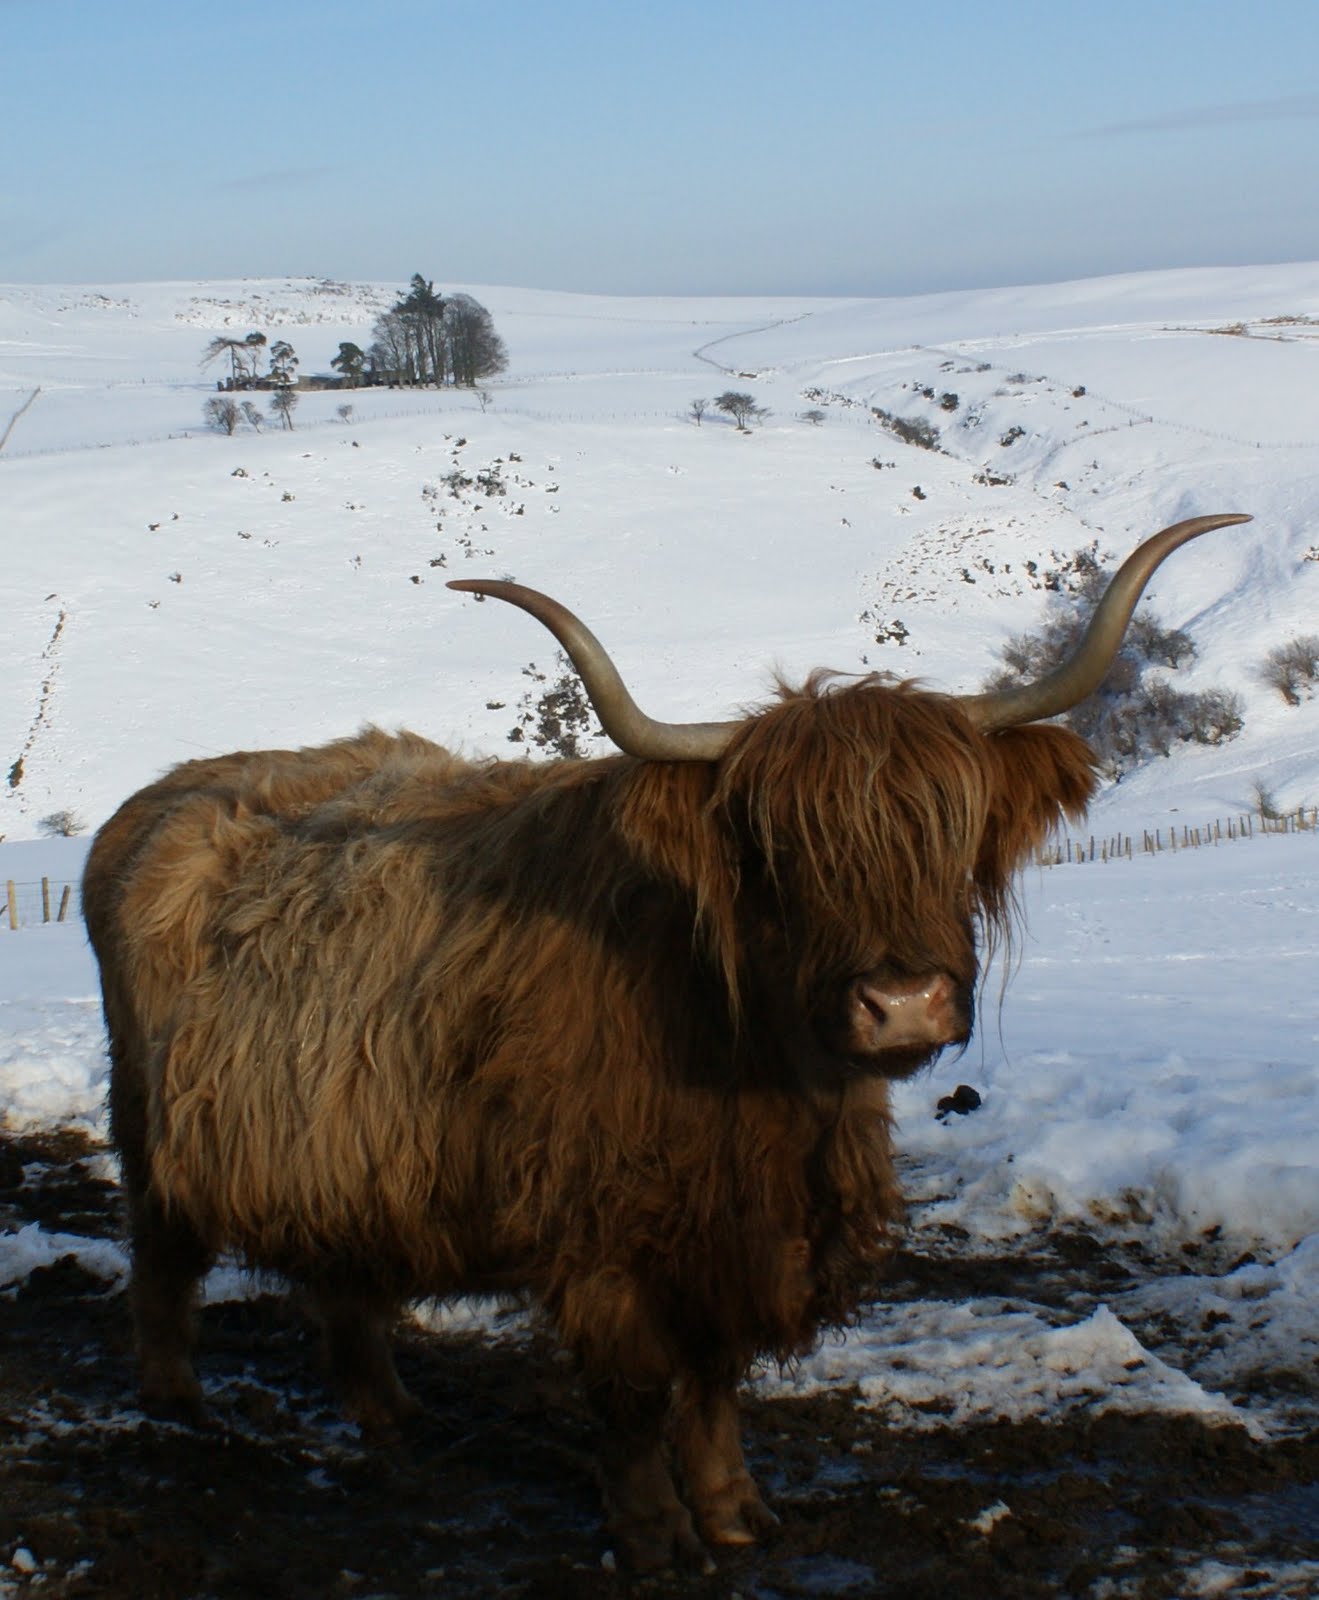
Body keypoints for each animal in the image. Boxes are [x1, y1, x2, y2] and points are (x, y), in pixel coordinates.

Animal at [83, 513, 1247, 1570]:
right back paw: (175, 1400)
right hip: (153, 1114)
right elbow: (638, 1389)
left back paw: (388, 1411)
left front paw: (733, 1509)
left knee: (340, 1271)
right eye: (778, 850)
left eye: (951, 830)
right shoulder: (600, 1224)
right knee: (161, 1250)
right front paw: (651, 1532)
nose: (902, 1001)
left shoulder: (740, 1231)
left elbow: (715, 1378)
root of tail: (151, 802)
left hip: (336, 1133)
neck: (764, 1082)